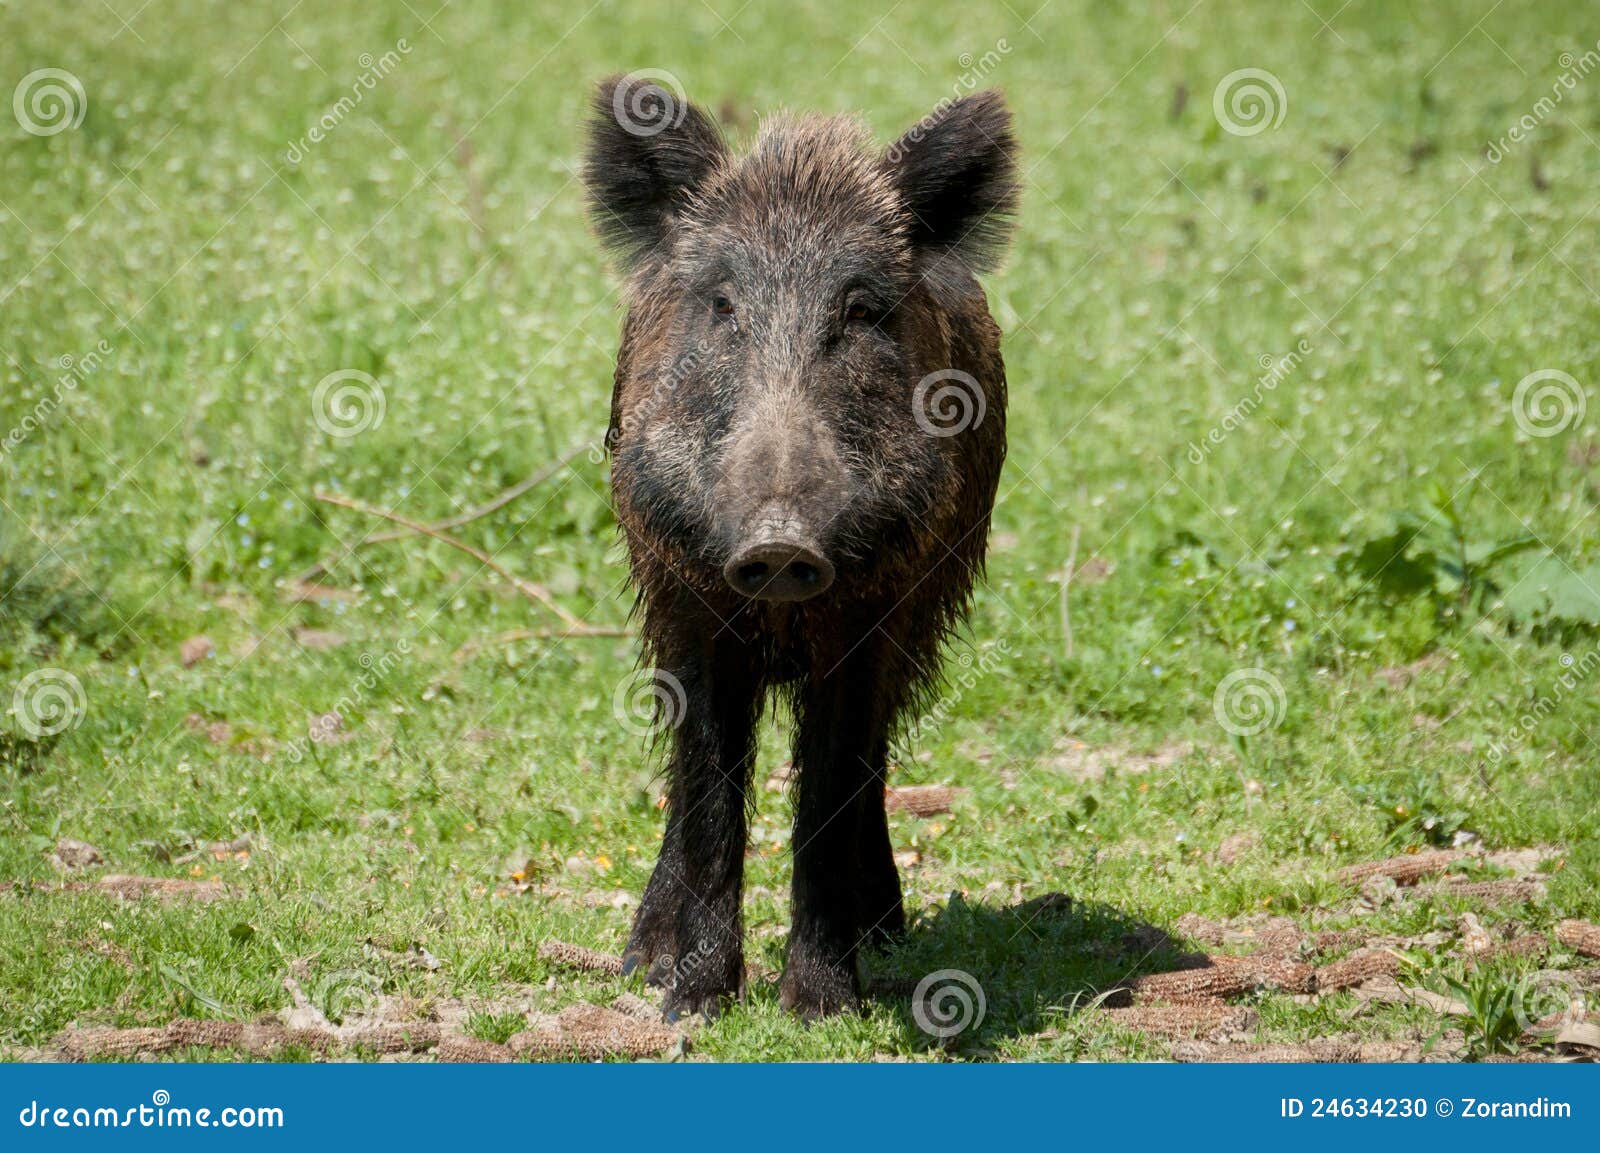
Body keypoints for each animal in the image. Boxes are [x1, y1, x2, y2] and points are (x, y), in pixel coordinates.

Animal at [583, 74, 1018, 1020]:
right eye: (723, 306)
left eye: (857, 311)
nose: (781, 540)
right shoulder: (686, 594)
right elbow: (709, 784)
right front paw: (690, 1002)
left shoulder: (878, 609)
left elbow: (831, 784)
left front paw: (819, 1006)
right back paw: (642, 959)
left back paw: (885, 932)